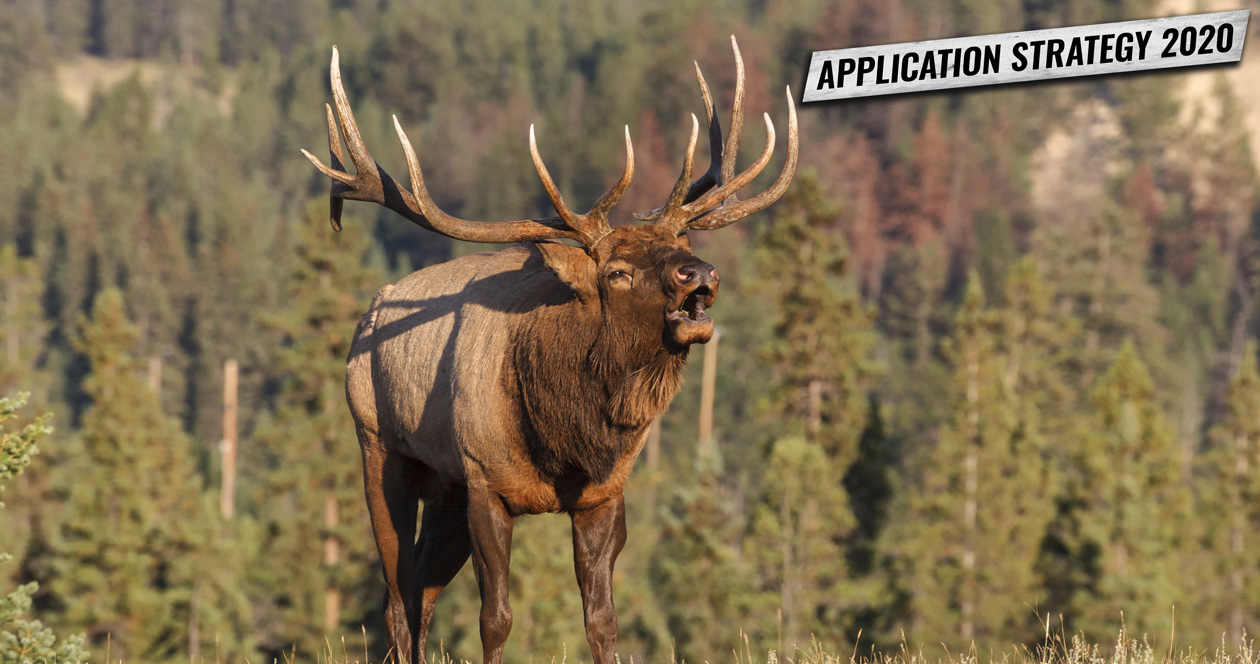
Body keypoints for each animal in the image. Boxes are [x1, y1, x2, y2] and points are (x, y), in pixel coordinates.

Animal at [301, 37, 797, 664]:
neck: (565, 439)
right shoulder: (486, 482)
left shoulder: (601, 496)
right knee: (396, 595)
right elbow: (496, 620)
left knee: (420, 594)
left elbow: (602, 620)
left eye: (679, 246)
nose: (699, 273)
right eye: (615, 272)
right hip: (380, 448)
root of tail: (370, 311)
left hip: (446, 489)